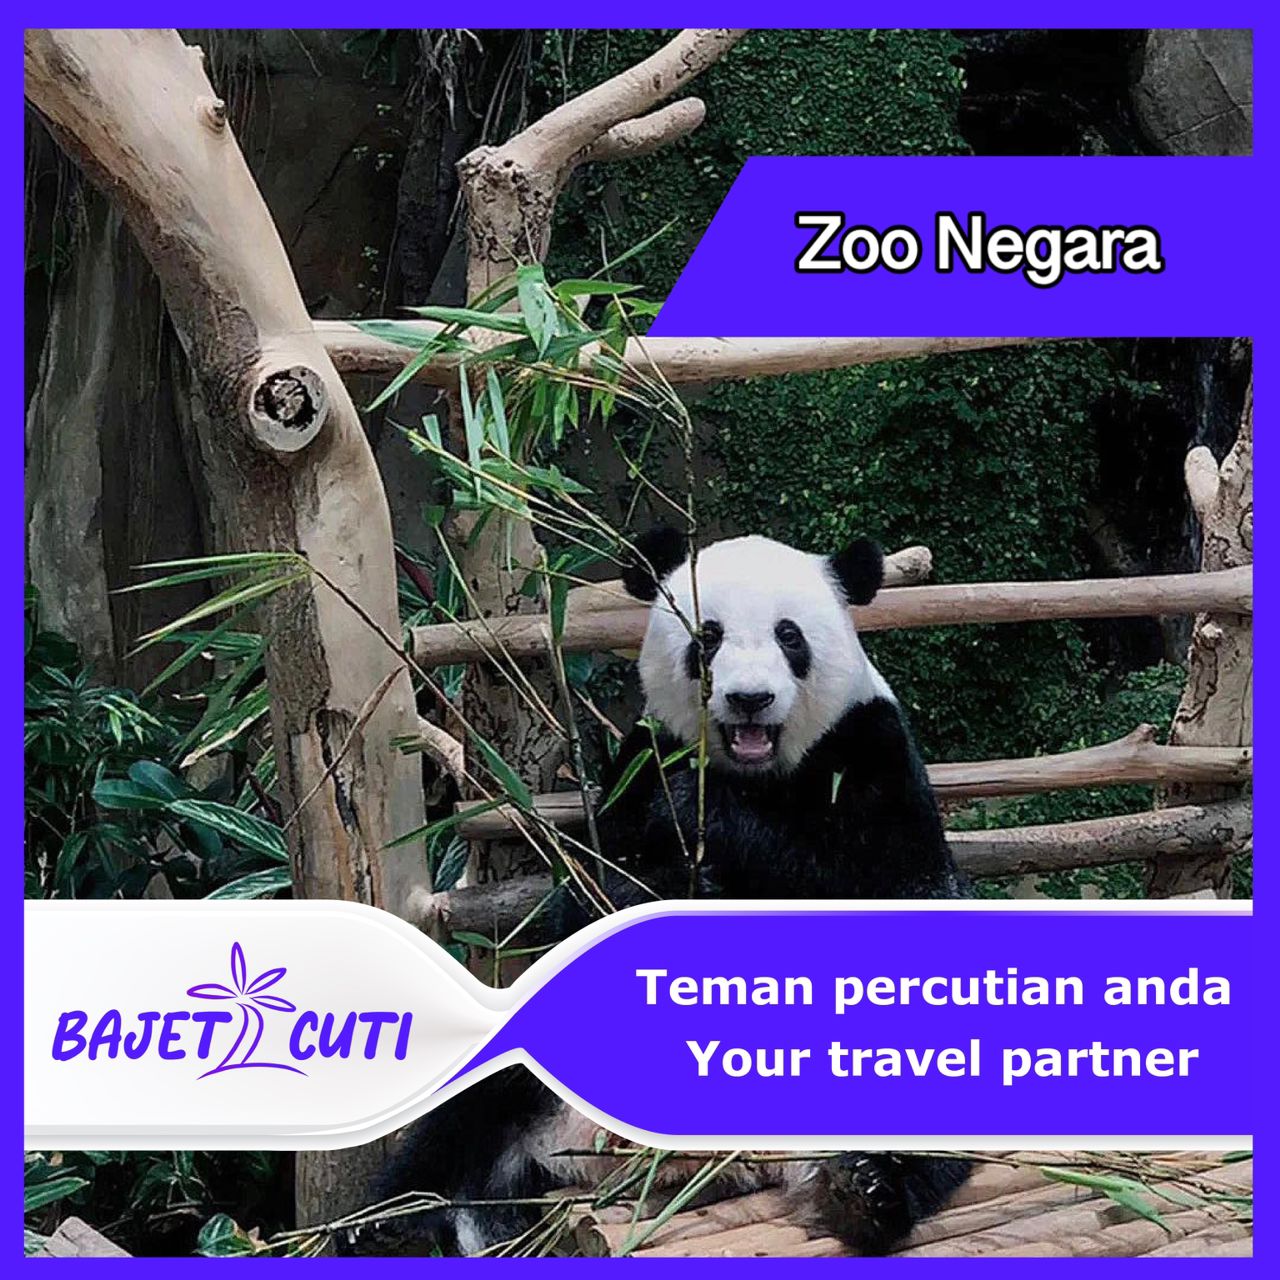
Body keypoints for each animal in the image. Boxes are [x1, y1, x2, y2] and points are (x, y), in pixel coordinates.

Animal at [367, 530, 971, 1256]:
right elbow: (587, 902)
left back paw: (867, 1193)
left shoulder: (871, 752)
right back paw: (391, 1224)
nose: (748, 699)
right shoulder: (640, 761)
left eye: (789, 635)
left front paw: (709, 826)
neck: (752, 773)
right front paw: (679, 863)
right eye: (707, 635)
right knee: (462, 1118)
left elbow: (893, 894)